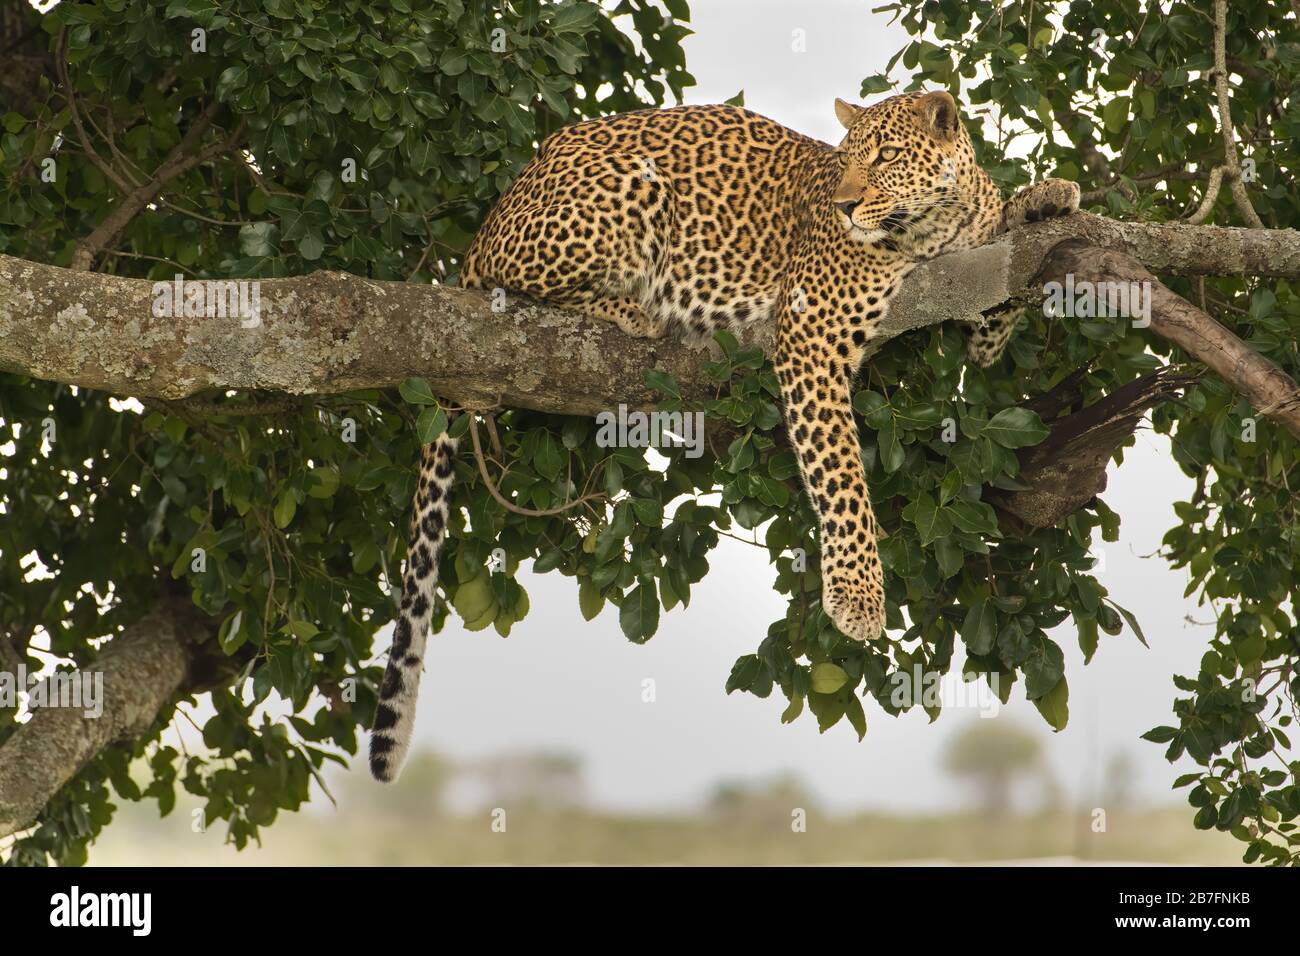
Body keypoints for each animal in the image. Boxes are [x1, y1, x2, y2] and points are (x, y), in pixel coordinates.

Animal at [369, 90, 1079, 782]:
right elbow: (842, 476)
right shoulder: (811, 333)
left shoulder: (980, 300)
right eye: (846, 159)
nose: (845, 205)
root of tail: (502, 202)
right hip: (619, 197)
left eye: (885, 157)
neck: (935, 231)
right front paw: (856, 596)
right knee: (510, 279)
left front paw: (1046, 198)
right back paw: (635, 307)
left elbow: (1000, 301)